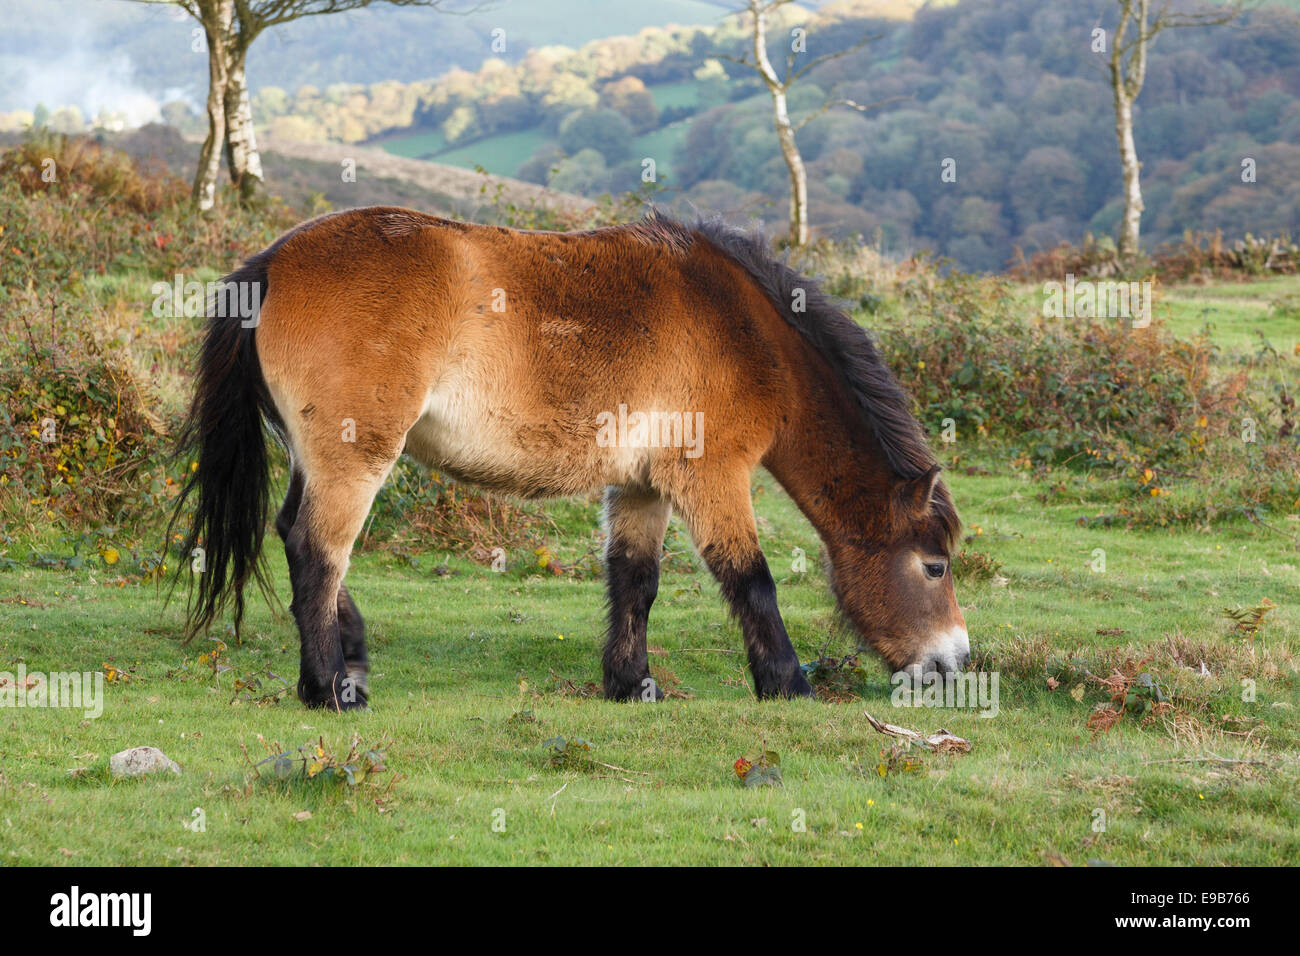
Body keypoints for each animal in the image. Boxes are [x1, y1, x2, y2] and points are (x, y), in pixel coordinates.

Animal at [169, 207, 968, 710]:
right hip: (356, 455)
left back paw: (352, 657)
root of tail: (273, 262)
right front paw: (788, 684)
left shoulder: (642, 485)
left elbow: (635, 580)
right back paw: (330, 691)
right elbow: (751, 580)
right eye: (934, 566)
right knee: (317, 550)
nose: (956, 663)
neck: (743, 328)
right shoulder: (711, 476)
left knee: (296, 537)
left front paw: (630, 684)